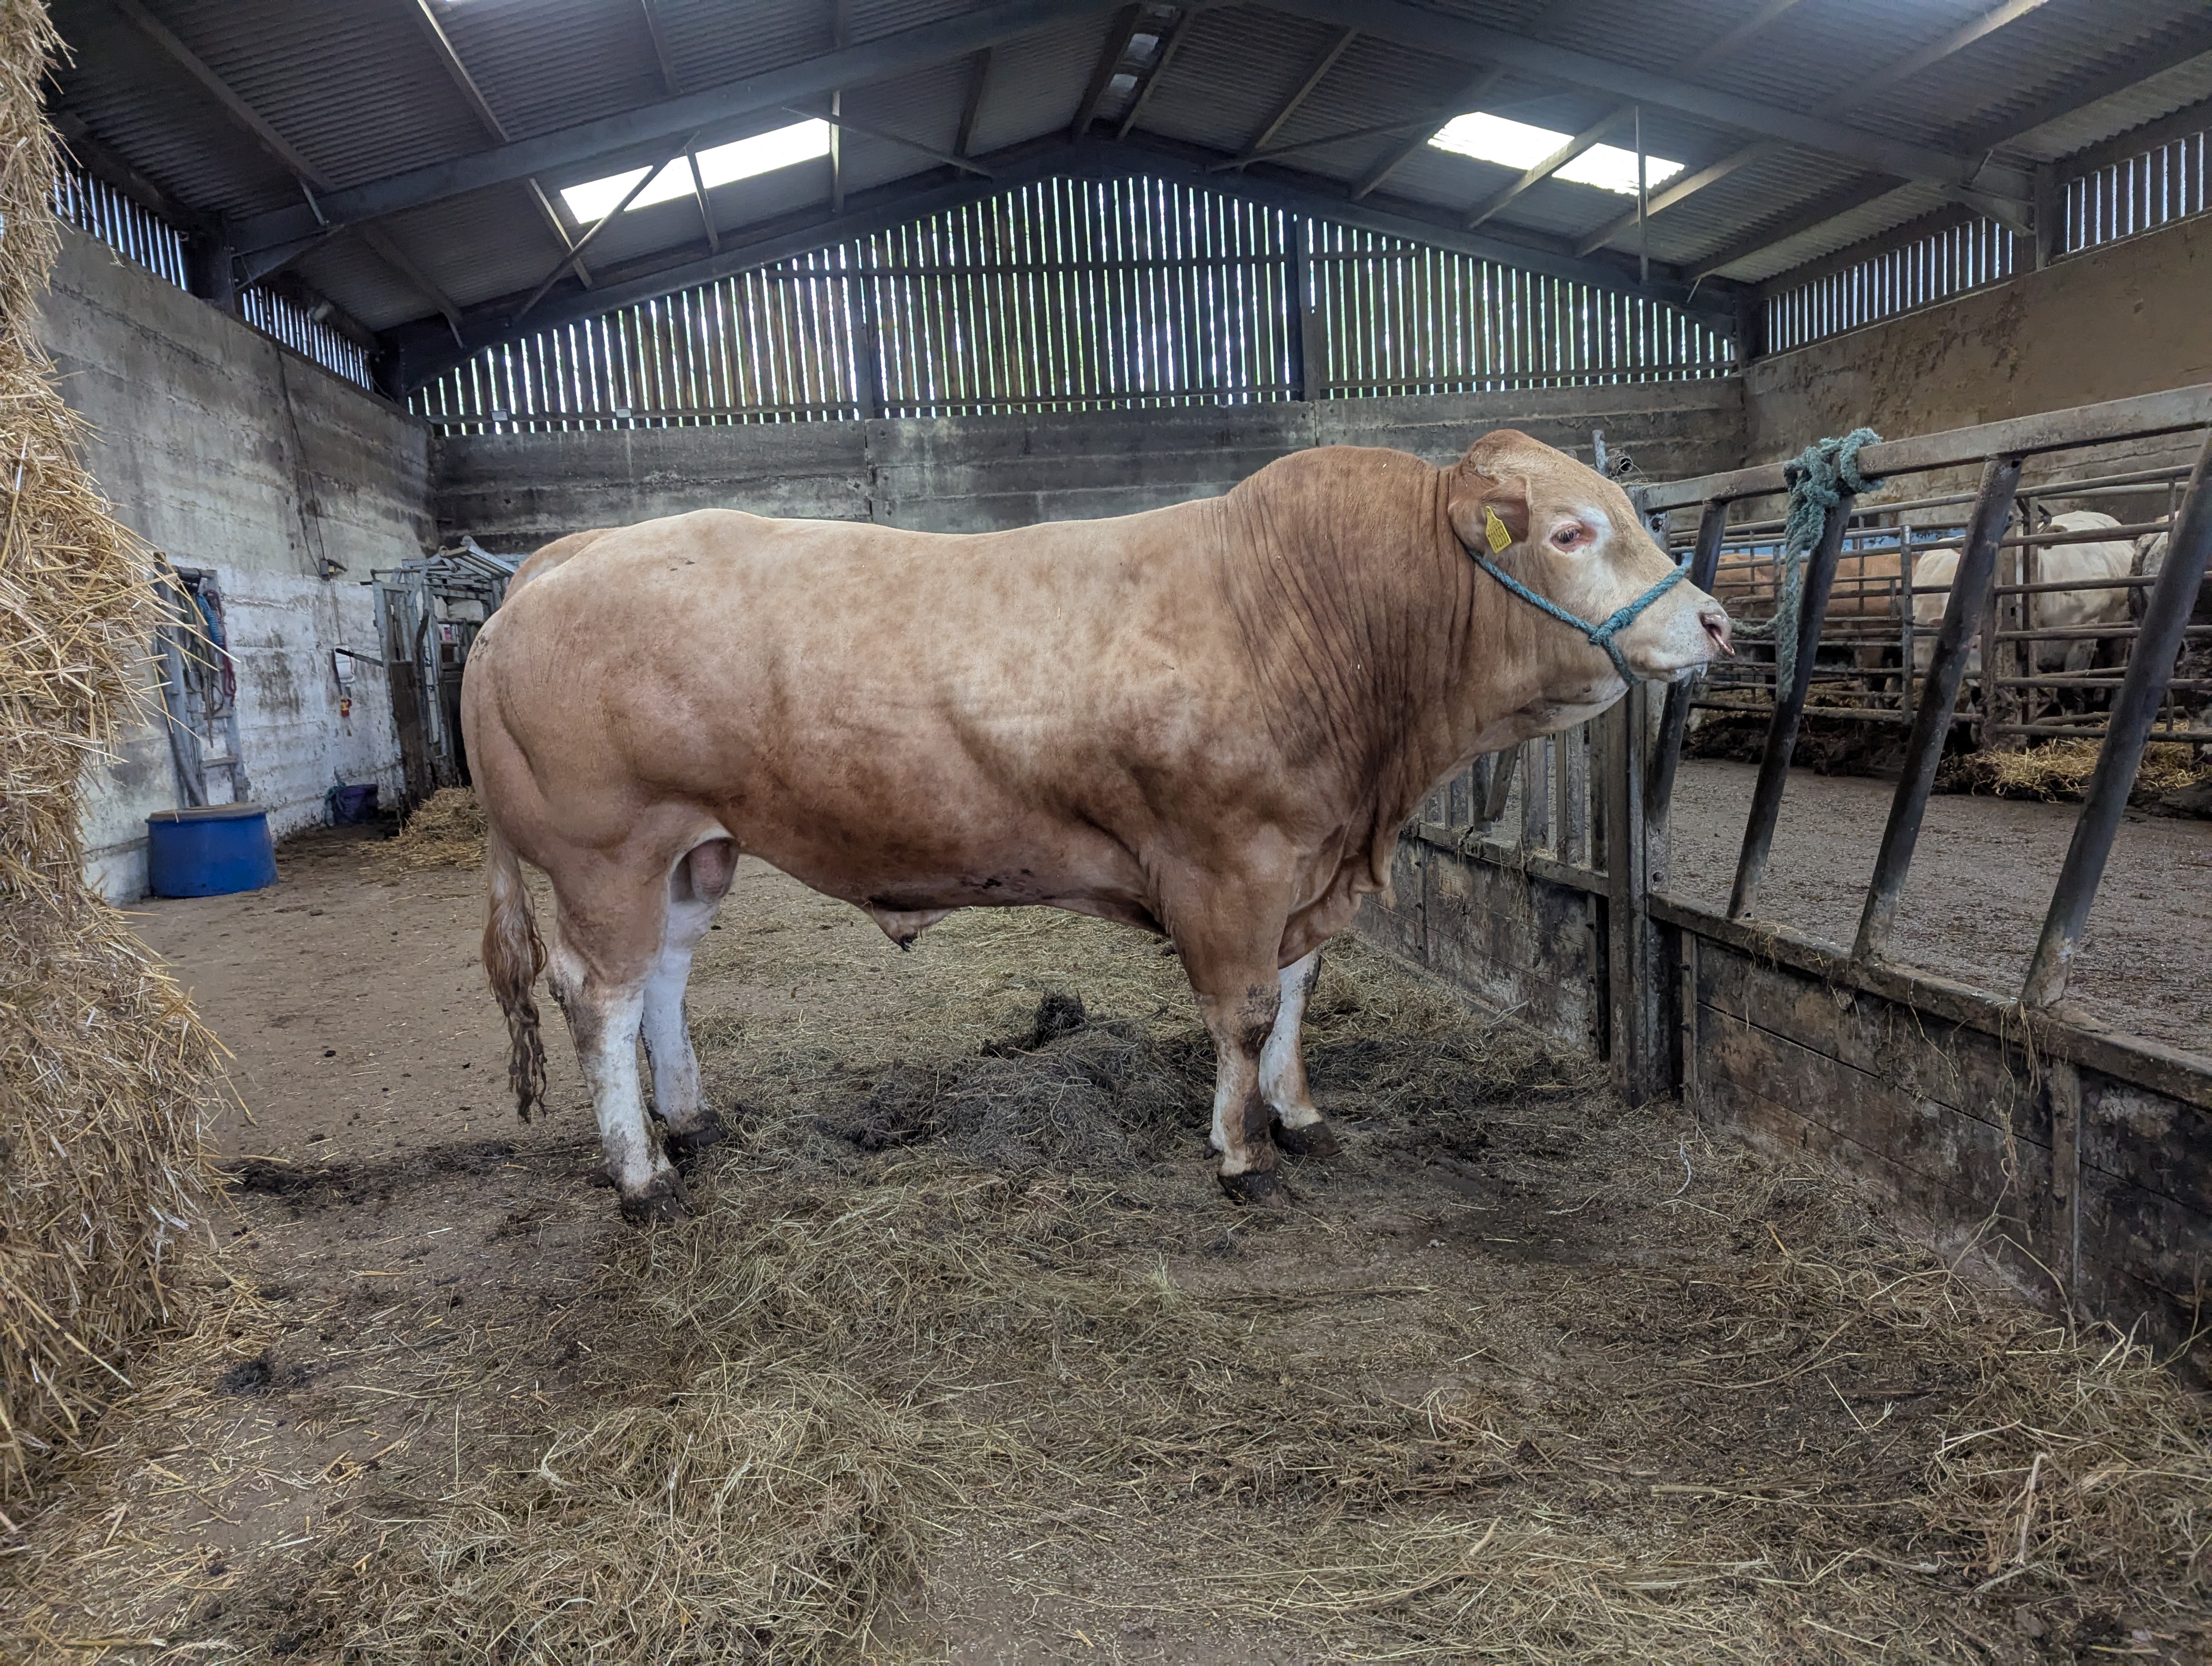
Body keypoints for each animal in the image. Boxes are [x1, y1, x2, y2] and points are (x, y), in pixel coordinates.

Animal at [460, 430, 1732, 1222]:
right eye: (1571, 533)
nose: (1716, 622)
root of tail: (562, 555)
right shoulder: (1231, 861)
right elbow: (1246, 1008)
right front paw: (1240, 1154)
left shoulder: (1306, 865)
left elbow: (1299, 995)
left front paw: (1301, 1116)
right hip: (607, 851)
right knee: (601, 997)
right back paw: (642, 1178)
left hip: (698, 849)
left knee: (665, 982)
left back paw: (694, 1120)